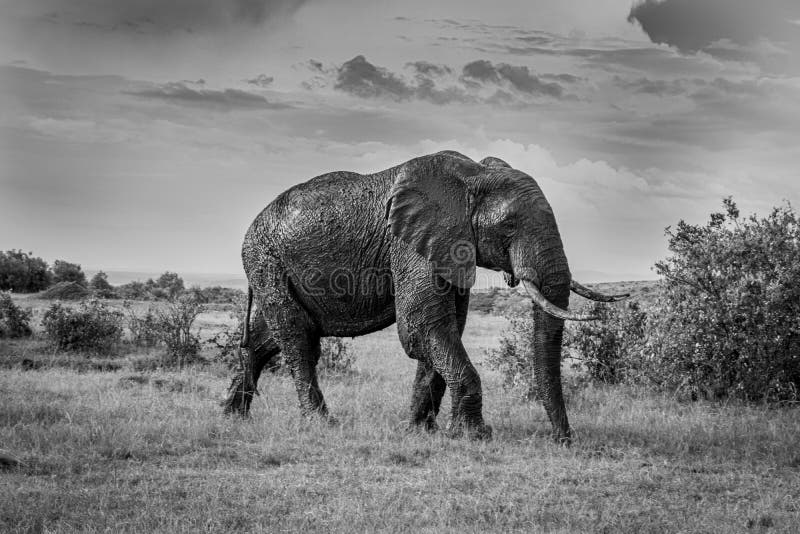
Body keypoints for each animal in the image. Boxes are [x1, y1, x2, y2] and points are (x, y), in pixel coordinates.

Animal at [222, 151, 627, 443]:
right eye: (509, 226)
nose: (563, 440)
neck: (472, 176)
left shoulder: (449, 247)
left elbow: (442, 330)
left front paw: (420, 431)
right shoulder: (408, 243)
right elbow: (422, 326)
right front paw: (474, 436)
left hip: (270, 264)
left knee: (264, 340)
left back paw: (230, 417)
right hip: (265, 258)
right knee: (298, 337)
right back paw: (321, 424)